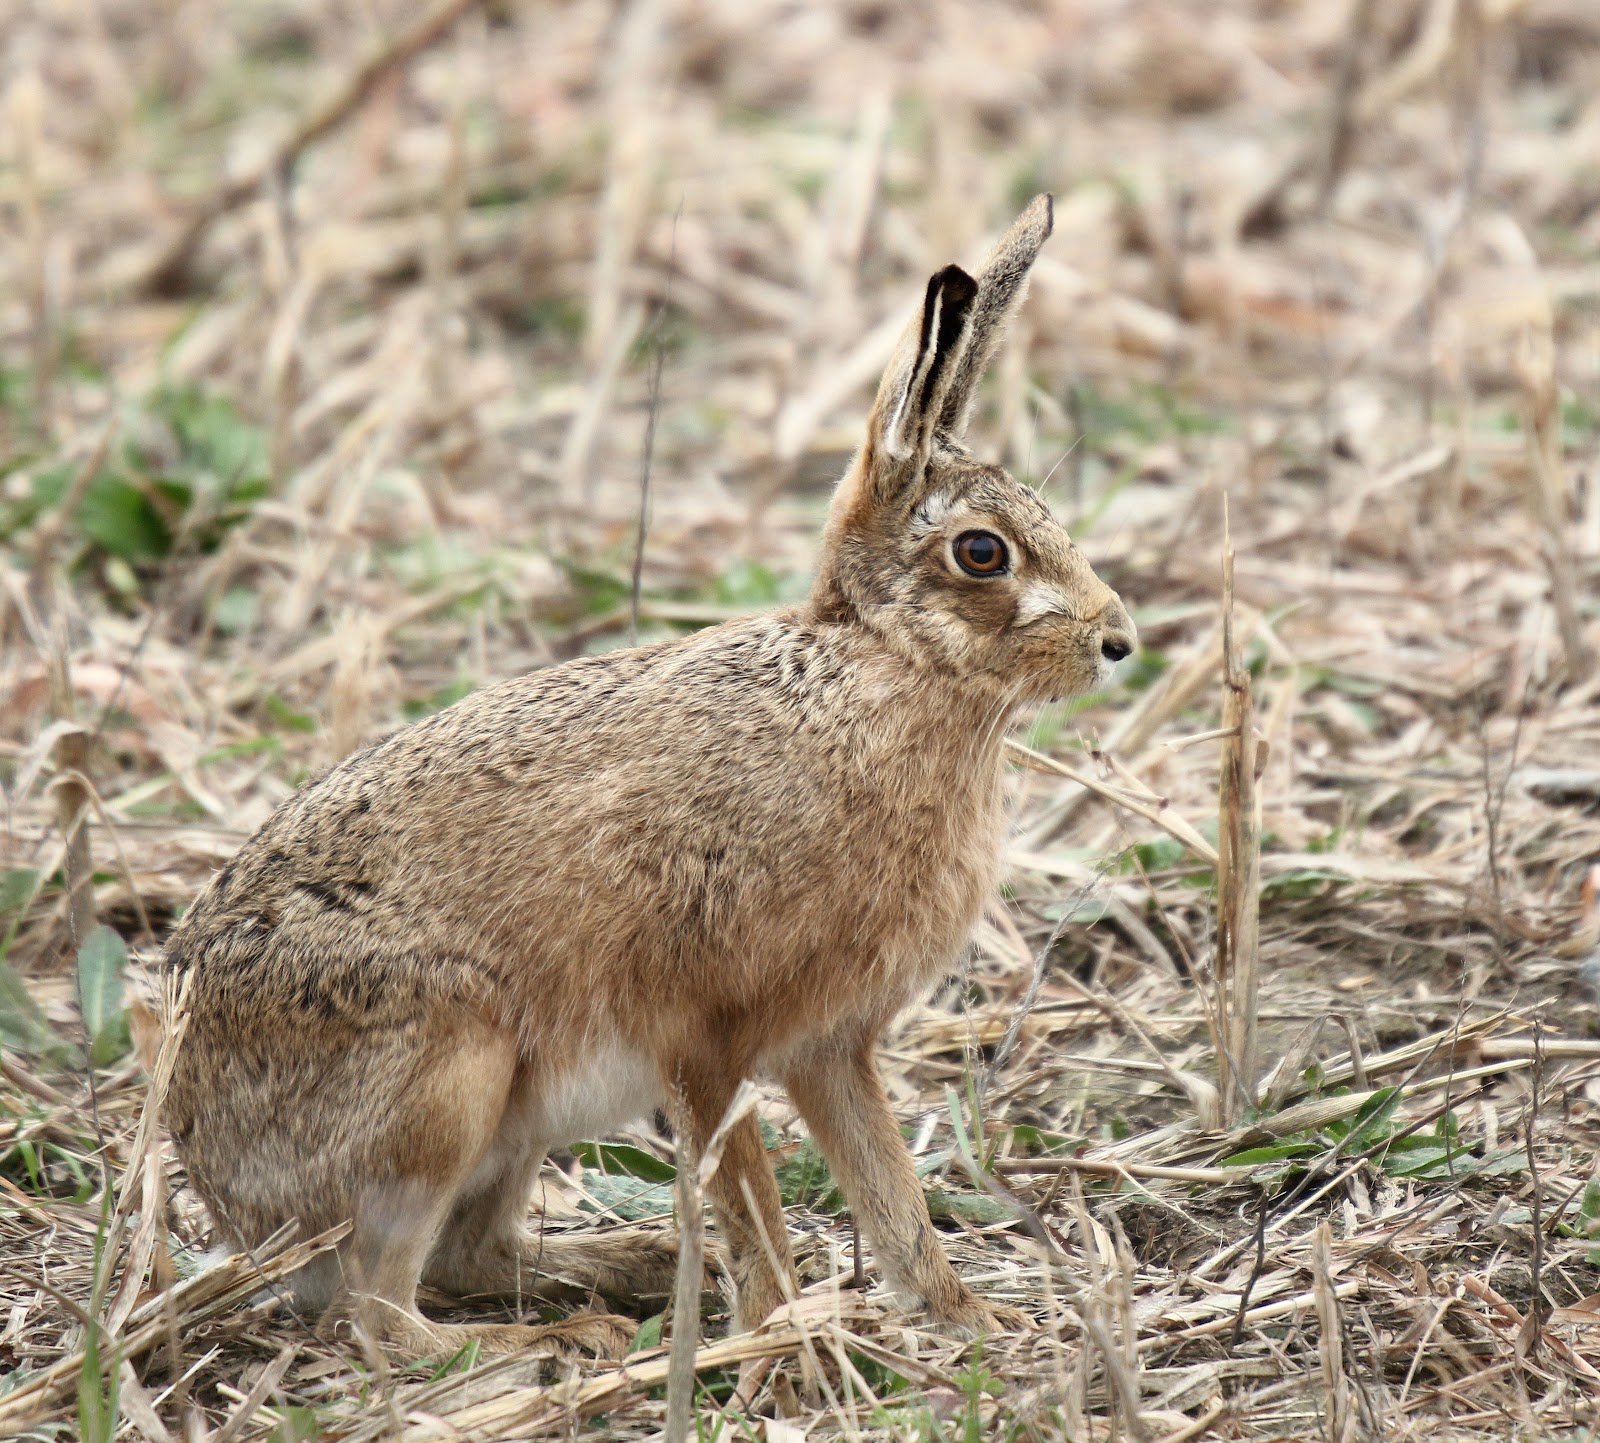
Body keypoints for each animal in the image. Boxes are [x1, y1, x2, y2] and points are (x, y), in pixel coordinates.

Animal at [150, 192, 1136, 1360]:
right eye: (983, 554)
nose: (1116, 642)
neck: (875, 671)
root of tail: (225, 1192)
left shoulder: (830, 1045)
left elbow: (890, 1196)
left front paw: (970, 1321)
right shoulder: (705, 1037)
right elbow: (751, 1198)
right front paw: (784, 1338)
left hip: (511, 1120)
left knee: (467, 1256)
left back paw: (622, 1276)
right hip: (449, 1070)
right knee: (379, 1306)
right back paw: (538, 1347)